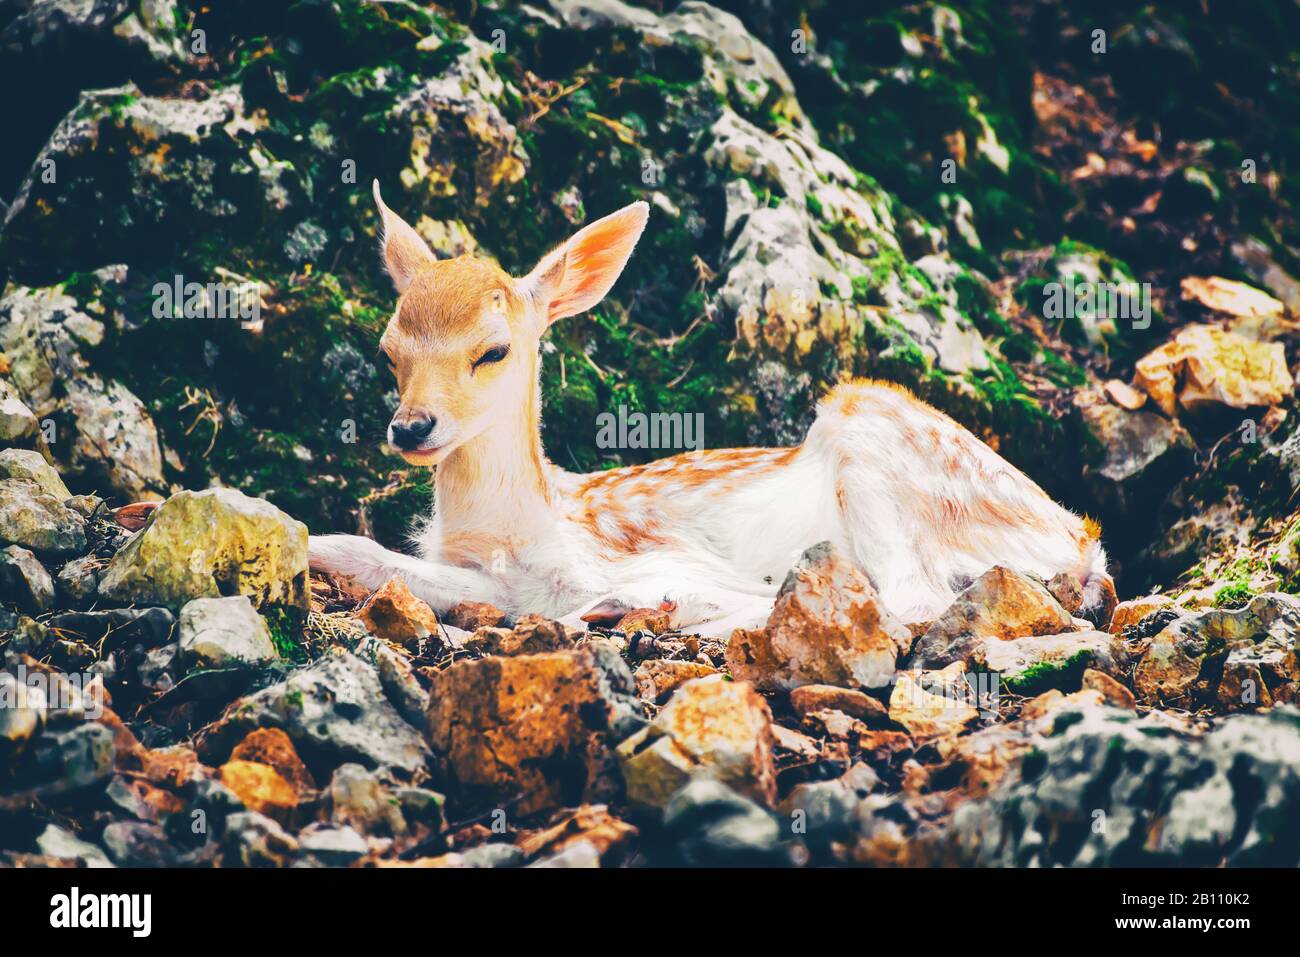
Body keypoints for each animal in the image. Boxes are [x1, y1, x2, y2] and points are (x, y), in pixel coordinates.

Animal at [307, 183, 1117, 636]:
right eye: (387, 349)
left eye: (493, 350)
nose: (410, 426)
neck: (522, 528)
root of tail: (1086, 542)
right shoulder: (495, 577)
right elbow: (372, 555)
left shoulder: (630, 557)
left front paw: (646, 604)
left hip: (870, 434)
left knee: (908, 603)